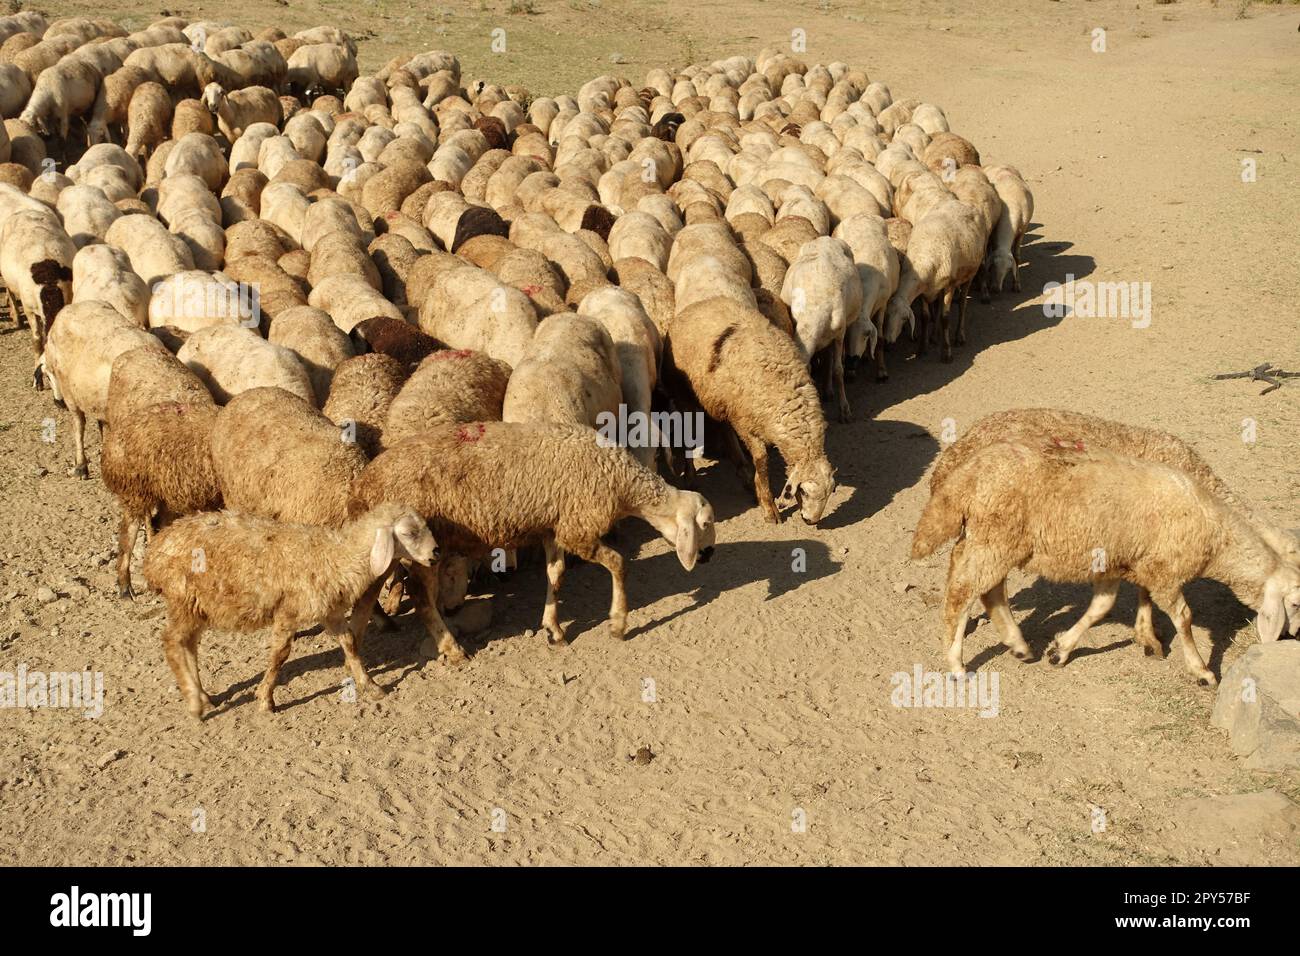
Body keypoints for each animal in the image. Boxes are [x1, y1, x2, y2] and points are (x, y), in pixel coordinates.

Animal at [143, 502, 436, 717]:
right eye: (409, 533)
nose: (436, 554)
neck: (335, 556)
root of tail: (156, 550)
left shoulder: (330, 612)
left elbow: (350, 643)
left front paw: (369, 685)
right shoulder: (289, 611)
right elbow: (279, 655)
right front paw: (265, 700)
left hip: (197, 606)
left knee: (188, 645)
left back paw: (203, 697)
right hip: (183, 598)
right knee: (172, 643)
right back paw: (195, 705)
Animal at [349, 421, 716, 653]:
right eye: (705, 522)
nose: (710, 554)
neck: (620, 481)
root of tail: (363, 484)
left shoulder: (554, 528)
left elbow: (556, 574)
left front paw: (553, 628)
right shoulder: (578, 529)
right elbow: (618, 563)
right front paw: (618, 623)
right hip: (423, 548)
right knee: (423, 599)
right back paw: (452, 650)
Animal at [663, 297, 836, 524]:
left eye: (830, 493)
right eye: (804, 492)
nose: (811, 521)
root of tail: (691, 308)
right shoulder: (746, 423)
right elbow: (761, 461)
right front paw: (769, 508)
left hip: (720, 398)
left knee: (723, 427)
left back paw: (742, 472)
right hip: (683, 394)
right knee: (686, 435)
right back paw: (691, 478)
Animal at [911, 441, 1300, 686]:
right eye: (1295, 603)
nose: (1293, 635)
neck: (1217, 537)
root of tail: (967, 474)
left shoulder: (1117, 563)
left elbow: (1102, 606)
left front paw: (1061, 650)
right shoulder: (1166, 574)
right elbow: (1184, 619)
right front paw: (1201, 671)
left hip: (995, 540)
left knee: (989, 591)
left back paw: (1019, 645)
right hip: (994, 539)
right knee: (961, 593)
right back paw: (956, 664)